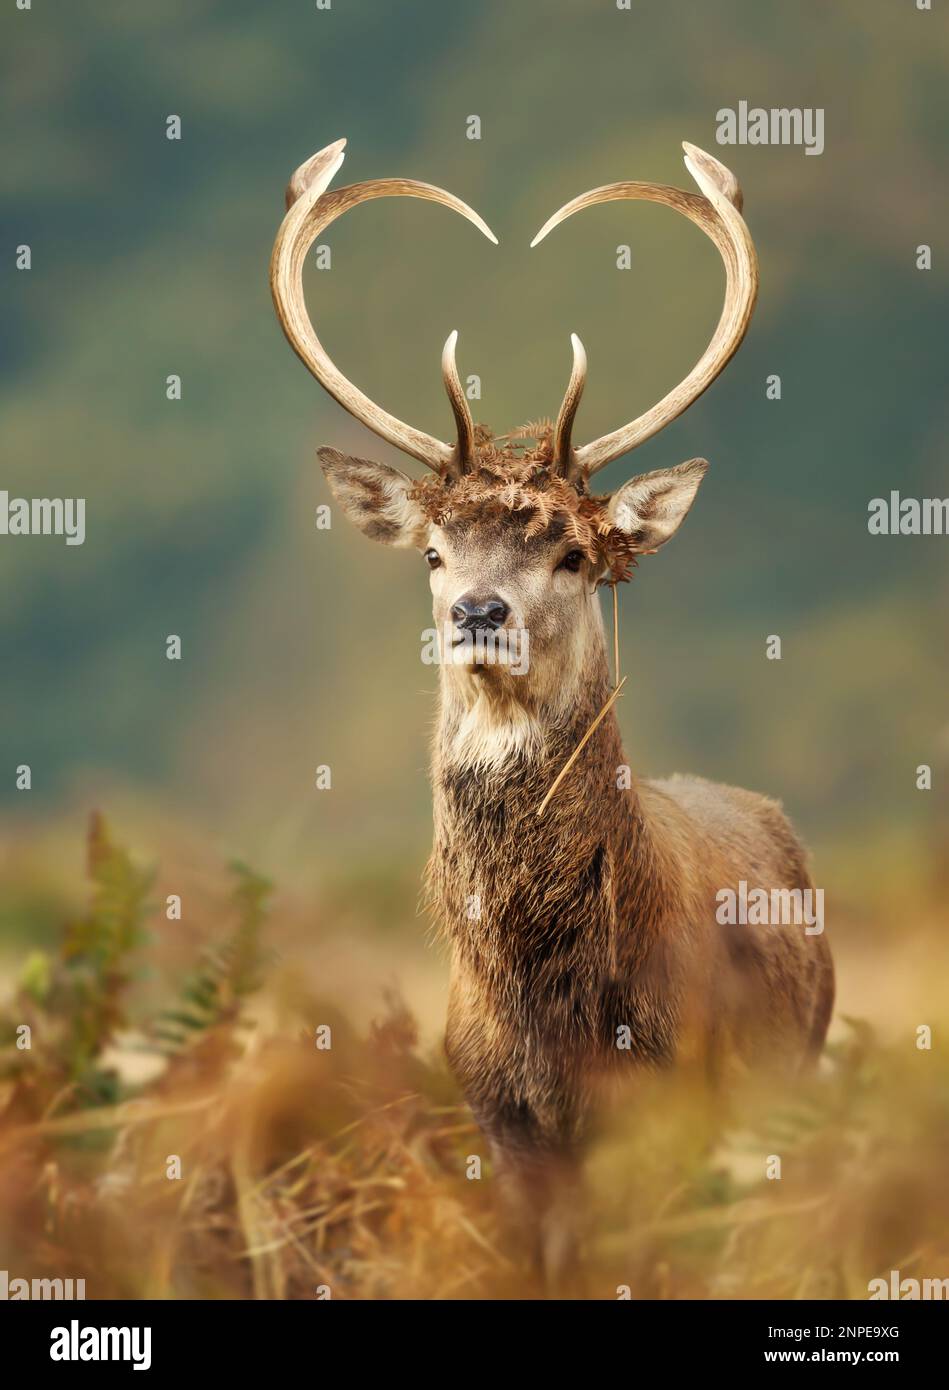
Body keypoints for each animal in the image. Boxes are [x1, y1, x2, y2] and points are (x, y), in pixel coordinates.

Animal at [270, 138, 835, 1292]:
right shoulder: (501, 1119)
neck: (558, 1008)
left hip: (794, 1068)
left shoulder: (675, 1094)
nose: (480, 612)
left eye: (573, 551)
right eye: (433, 551)